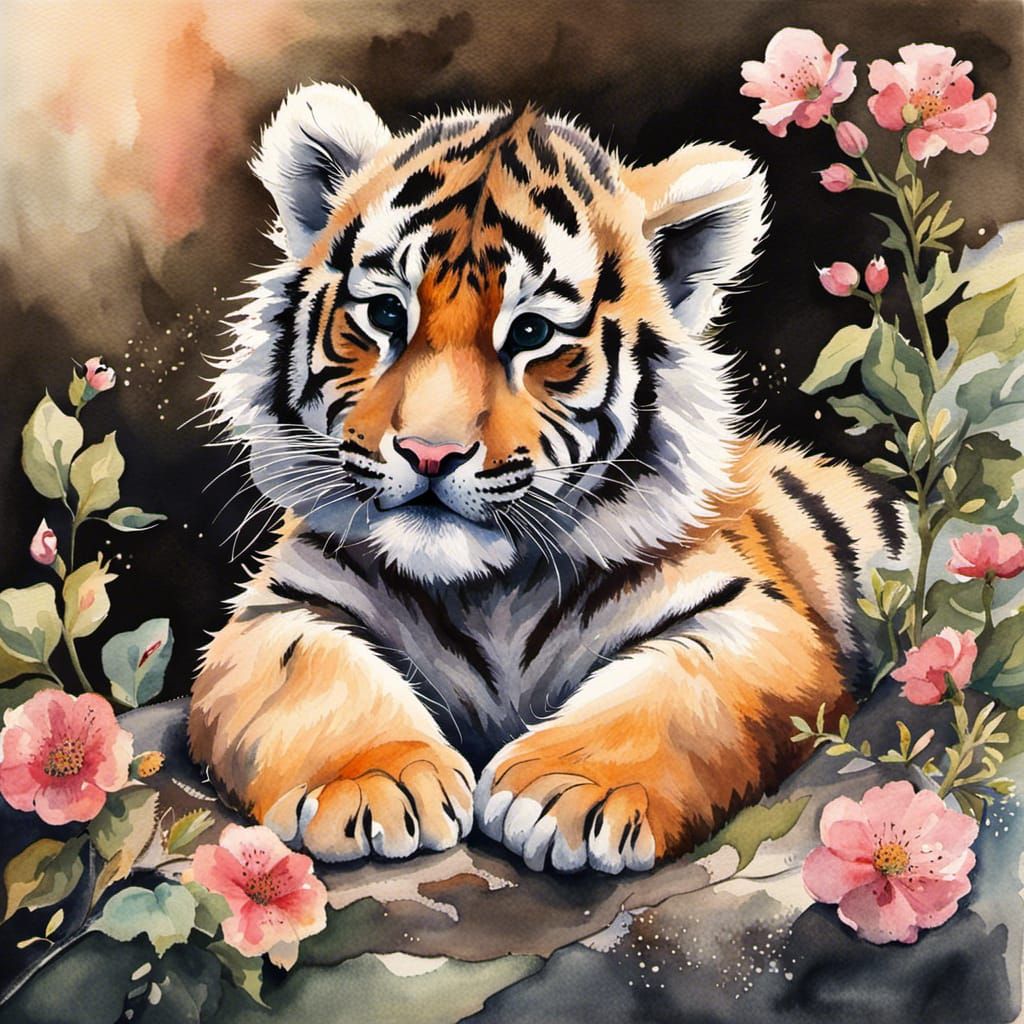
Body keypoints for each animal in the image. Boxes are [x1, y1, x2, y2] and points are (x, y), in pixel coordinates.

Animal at [187, 83, 903, 874]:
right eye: (385, 314)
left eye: (531, 334)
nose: (429, 453)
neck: (488, 593)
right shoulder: (283, 607)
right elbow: (314, 673)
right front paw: (373, 782)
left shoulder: (749, 613)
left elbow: (673, 689)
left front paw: (569, 790)